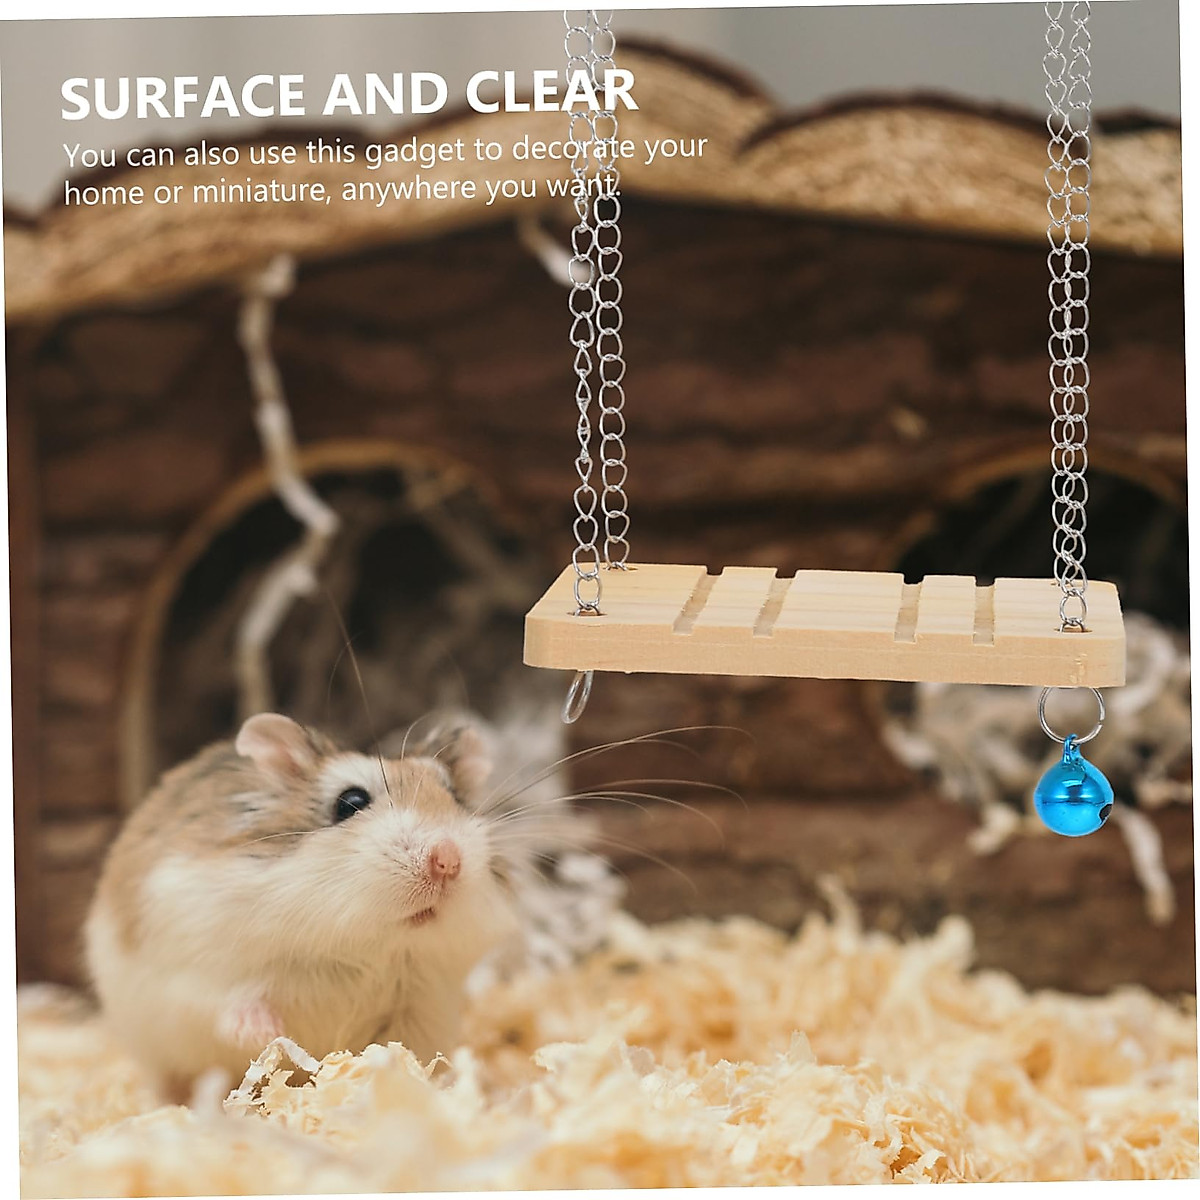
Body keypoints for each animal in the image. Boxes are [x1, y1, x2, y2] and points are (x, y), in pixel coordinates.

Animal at [84, 712, 522, 1101]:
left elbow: (404, 1053)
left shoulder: (422, 1005)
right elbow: (231, 1004)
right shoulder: (198, 969)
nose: (447, 860)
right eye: (350, 802)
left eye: (455, 797)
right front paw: (270, 1035)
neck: (366, 946)